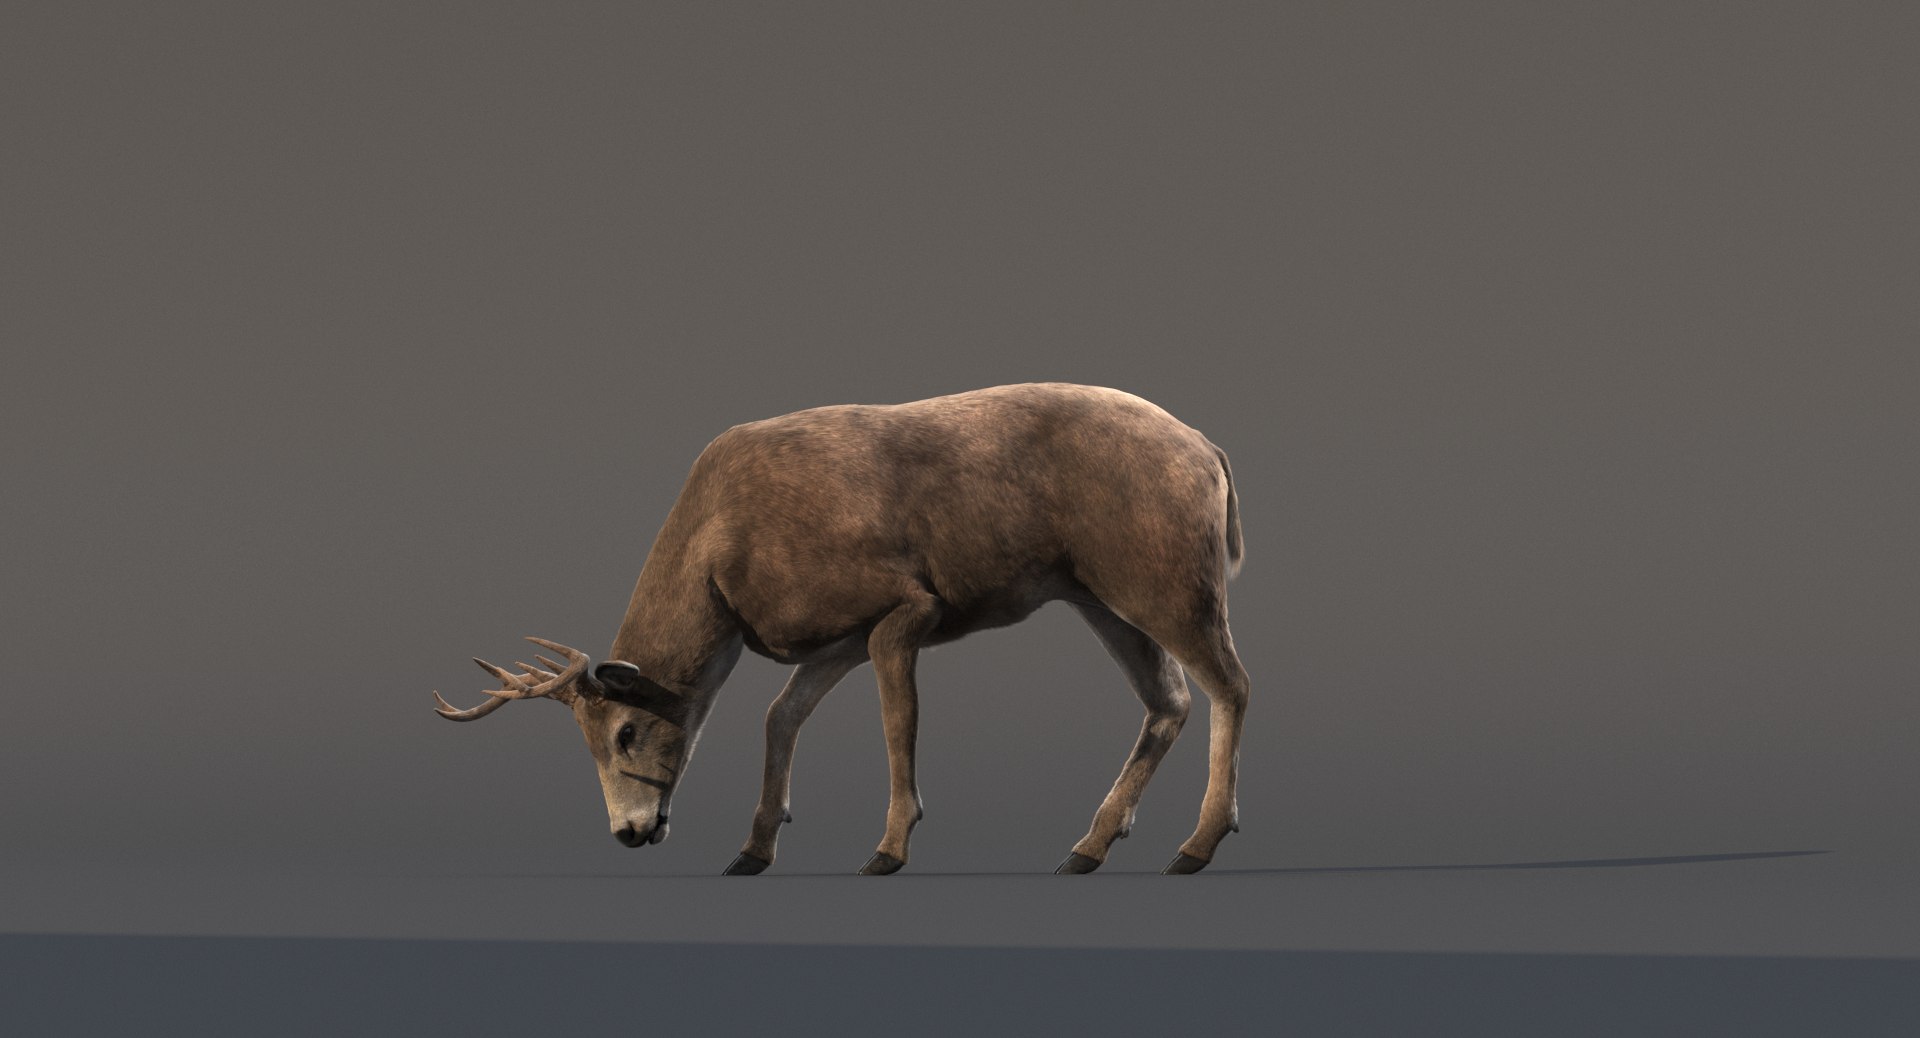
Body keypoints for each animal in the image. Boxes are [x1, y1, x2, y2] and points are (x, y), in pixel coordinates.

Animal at [433, 382, 1250, 875]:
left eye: (626, 732)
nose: (629, 833)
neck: (722, 558)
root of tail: (1213, 453)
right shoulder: (837, 636)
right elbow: (779, 715)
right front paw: (753, 849)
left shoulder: (905, 604)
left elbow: (896, 725)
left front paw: (887, 848)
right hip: (1098, 592)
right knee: (1169, 700)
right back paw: (1090, 847)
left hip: (1167, 575)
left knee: (1230, 685)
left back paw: (1197, 845)